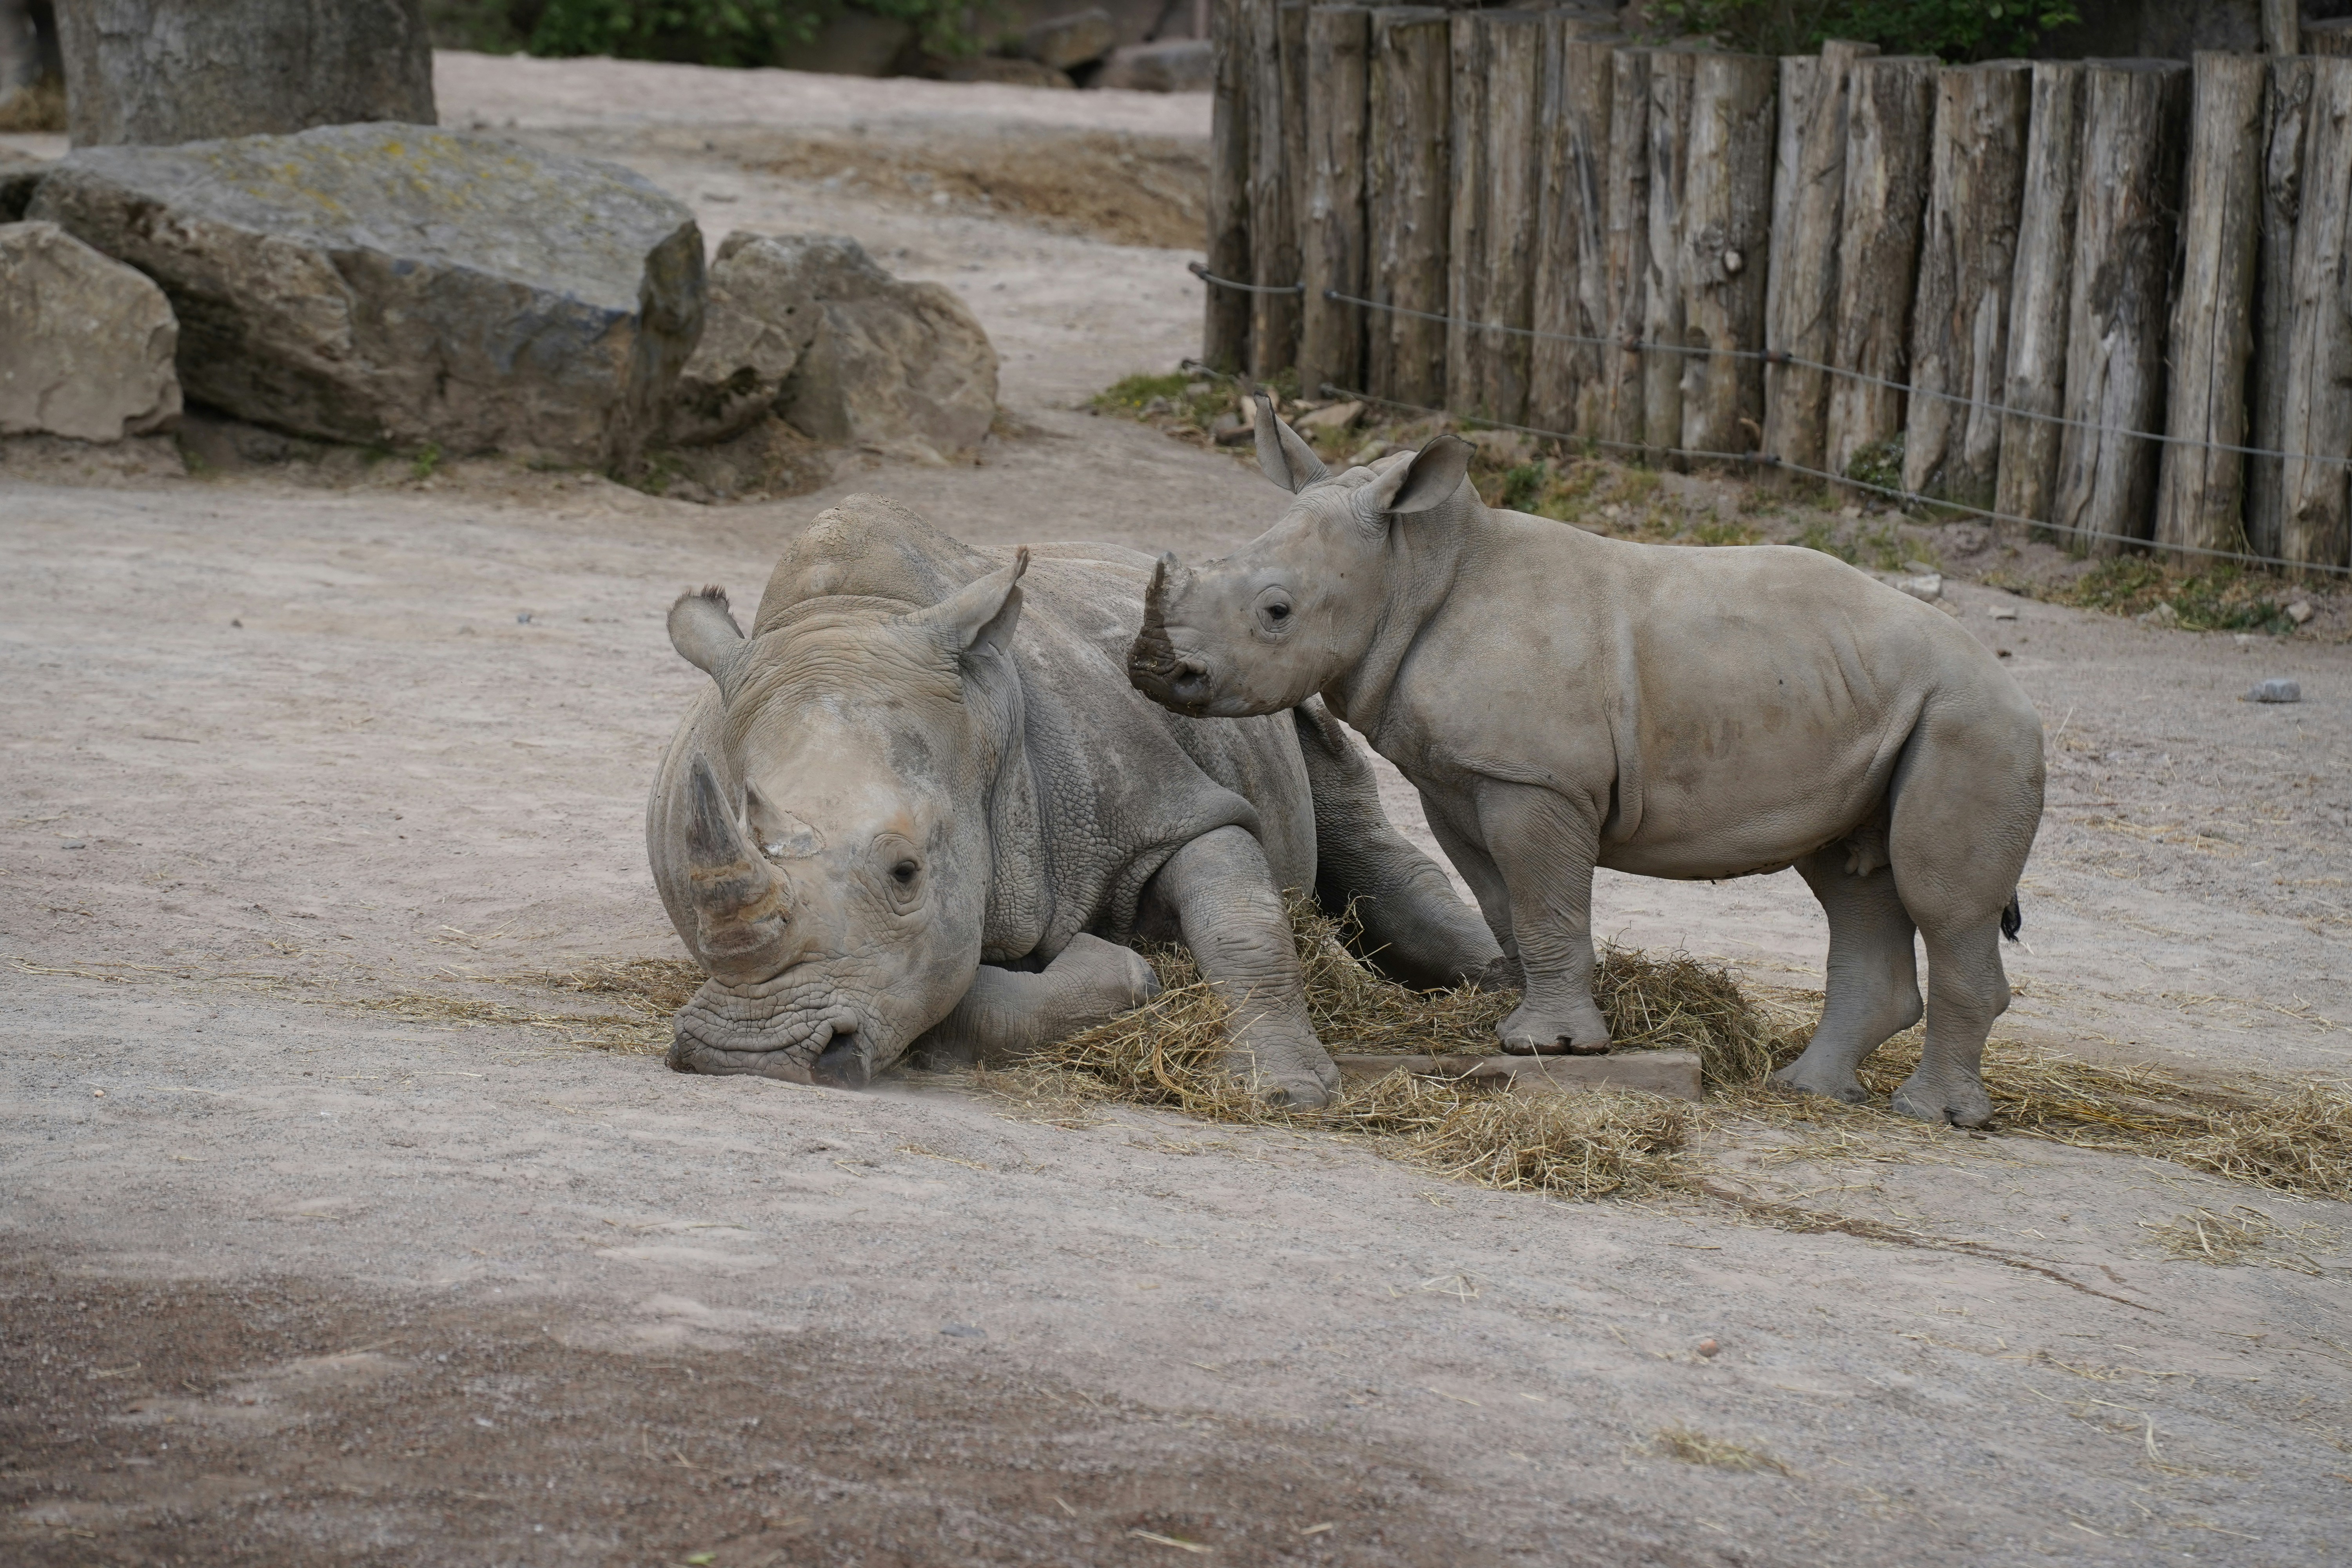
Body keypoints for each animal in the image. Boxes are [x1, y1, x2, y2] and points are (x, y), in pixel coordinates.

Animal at [647, 494, 1499, 1105]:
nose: (747, 1053)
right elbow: (952, 988)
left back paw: (1501, 988)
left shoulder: (1169, 806)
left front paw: (1288, 1093)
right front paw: (1127, 972)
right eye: (690, 892)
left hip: (1259, 674)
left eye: (905, 873)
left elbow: (1242, 919)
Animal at [1126, 400, 2046, 1128]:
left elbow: (1545, 901)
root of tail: (2012, 684)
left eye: (1277, 612)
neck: (1416, 567)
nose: (1157, 673)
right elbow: (1507, 904)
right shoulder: (1462, 779)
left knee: (1939, 897)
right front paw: (1513, 1021)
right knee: (1853, 879)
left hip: (1973, 721)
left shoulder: (1535, 781)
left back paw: (1931, 1116)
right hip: (1888, 707)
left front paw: (1555, 1047)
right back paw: (1810, 1092)